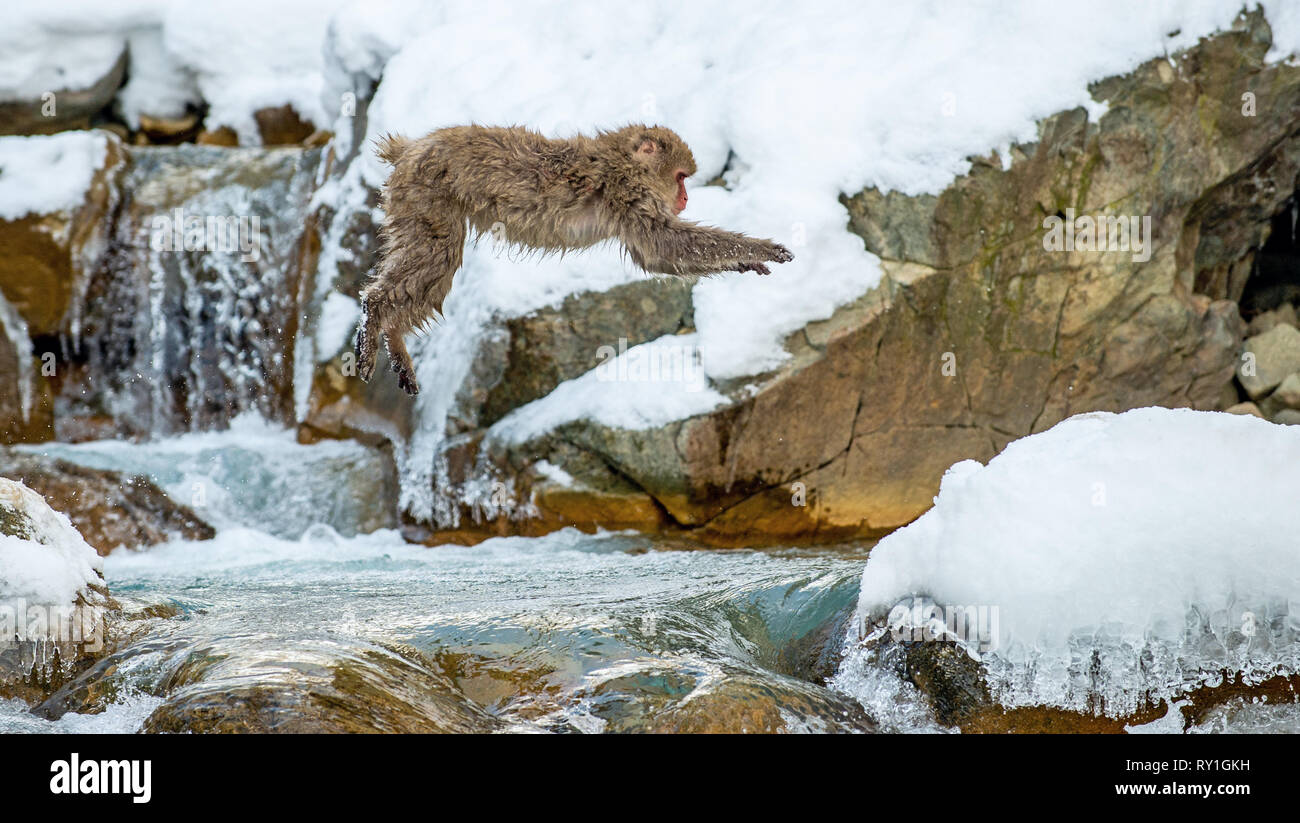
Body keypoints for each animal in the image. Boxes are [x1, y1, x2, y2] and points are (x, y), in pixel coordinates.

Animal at [355, 124, 794, 396]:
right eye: (682, 177)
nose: (685, 198)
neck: (623, 160)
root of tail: (411, 148)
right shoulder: (628, 193)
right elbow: (662, 248)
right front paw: (758, 250)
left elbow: (659, 257)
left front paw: (746, 262)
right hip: (428, 194)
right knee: (435, 258)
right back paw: (375, 315)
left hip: (413, 200)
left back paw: (393, 340)